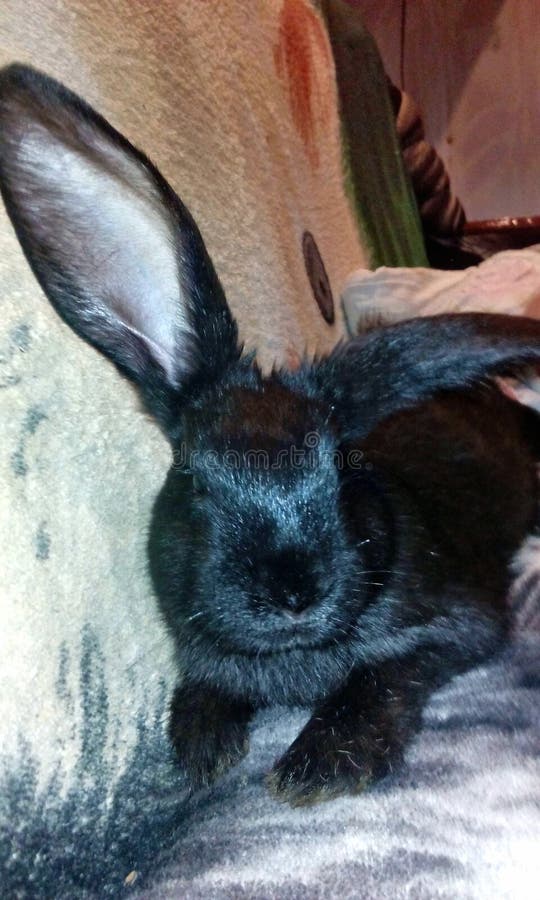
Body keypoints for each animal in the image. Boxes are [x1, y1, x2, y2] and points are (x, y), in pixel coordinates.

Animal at [2, 64, 540, 807]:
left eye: (343, 465)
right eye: (193, 479)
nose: (292, 594)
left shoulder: (457, 622)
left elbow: (380, 675)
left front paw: (318, 767)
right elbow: (205, 688)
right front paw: (200, 749)